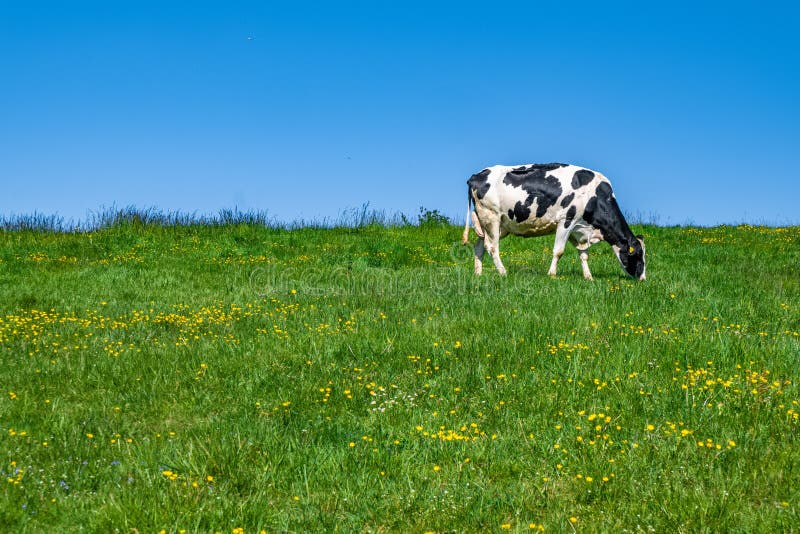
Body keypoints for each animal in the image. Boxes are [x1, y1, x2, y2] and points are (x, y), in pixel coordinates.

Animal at [462, 163, 646, 280]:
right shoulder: (567, 220)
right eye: (638, 254)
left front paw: (589, 277)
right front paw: (552, 274)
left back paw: (478, 273)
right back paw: (503, 272)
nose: (642, 278)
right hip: (491, 216)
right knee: (492, 247)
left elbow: (583, 254)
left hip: (494, 224)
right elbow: (559, 251)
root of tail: (476, 175)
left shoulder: (578, 230)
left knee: (479, 245)